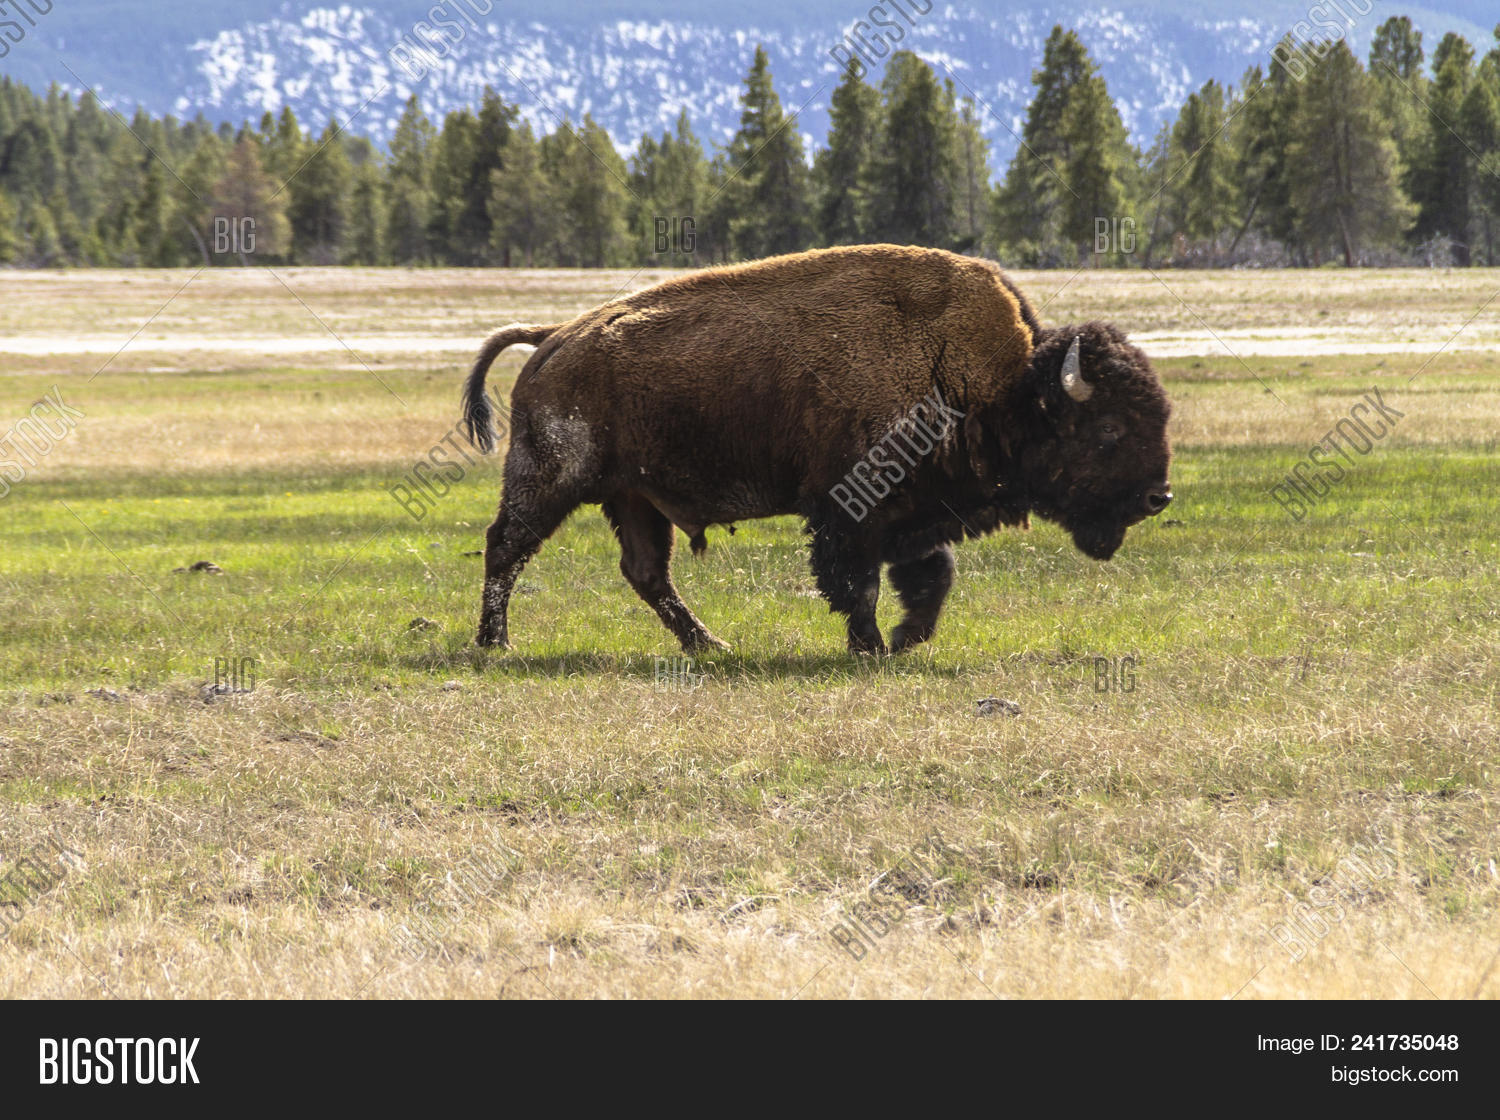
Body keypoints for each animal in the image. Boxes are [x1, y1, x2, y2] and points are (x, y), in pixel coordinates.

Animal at [461, 244, 1172, 654]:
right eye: (1109, 430)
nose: (1158, 497)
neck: (987, 384)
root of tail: (555, 335)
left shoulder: (912, 515)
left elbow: (930, 575)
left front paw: (905, 639)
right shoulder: (850, 510)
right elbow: (859, 582)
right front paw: (871, 646)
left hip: (633, 498)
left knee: (646, 572)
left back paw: (710, 646)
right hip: (550, 481)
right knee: (506, 548)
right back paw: (496, 644)